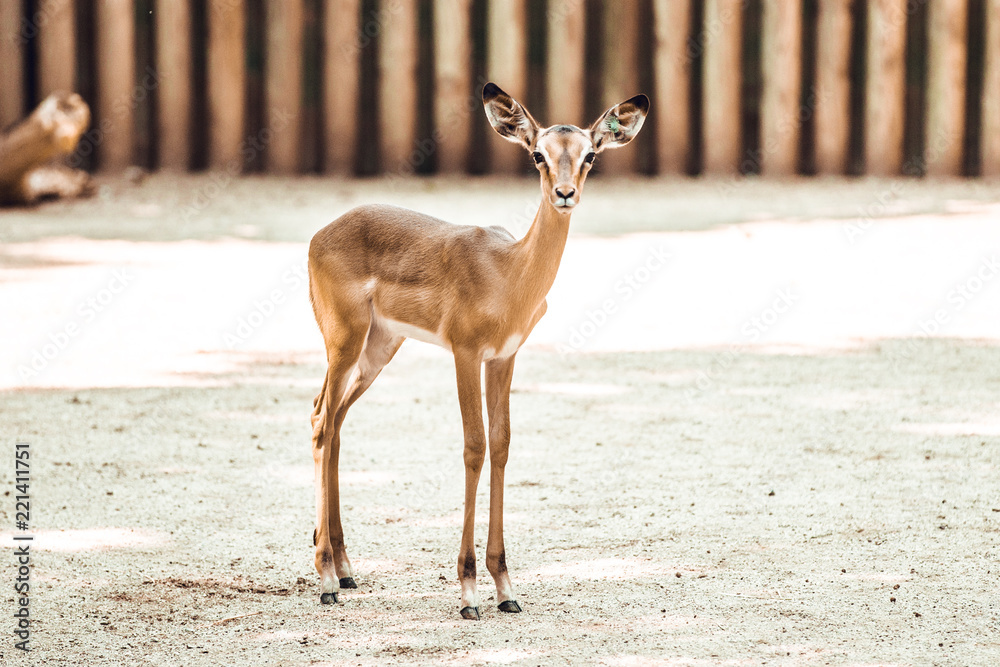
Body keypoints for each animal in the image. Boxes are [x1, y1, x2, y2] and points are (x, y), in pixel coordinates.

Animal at [307, 82, 648, 619]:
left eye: (589, 155)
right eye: (537, 154)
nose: (565, 193)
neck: (508, 274)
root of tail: (322, 234)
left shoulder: (503, 359)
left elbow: (502, 443)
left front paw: (505, 587)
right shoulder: (465, 354)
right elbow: (474, 447)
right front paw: (468, 592)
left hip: (377, 349)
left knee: (336, 421)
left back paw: (345, 570)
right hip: (343, 341)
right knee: (322, 421)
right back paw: (325, 579)